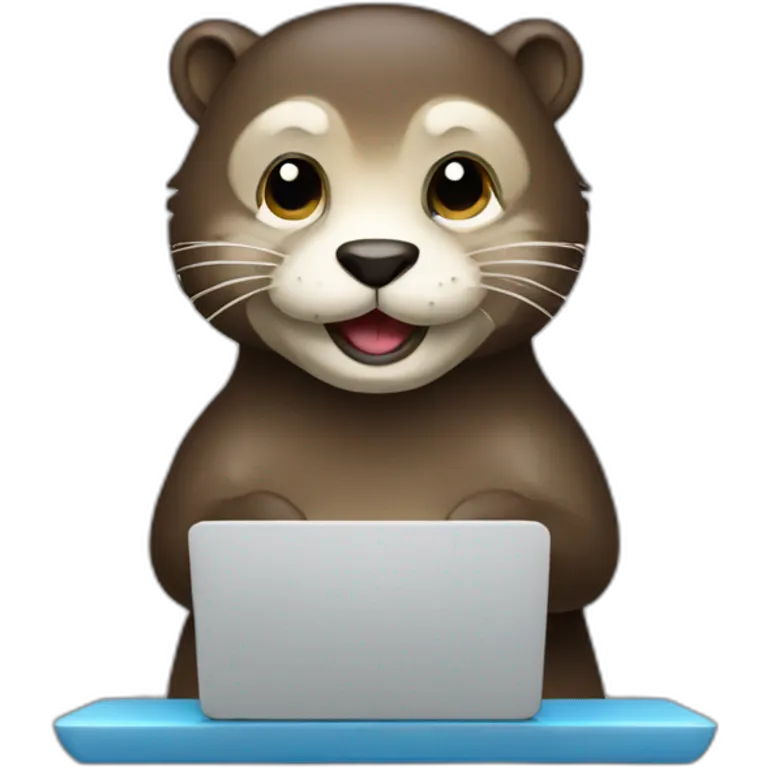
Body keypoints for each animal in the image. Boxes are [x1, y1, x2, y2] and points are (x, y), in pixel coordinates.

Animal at [153, 2, 620, 757]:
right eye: (291, 185)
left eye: (461, 185)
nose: (376, 256)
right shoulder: (215, 447)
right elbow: (176, 546)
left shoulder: (549, 445)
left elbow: (586, 548)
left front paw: (473, 535)